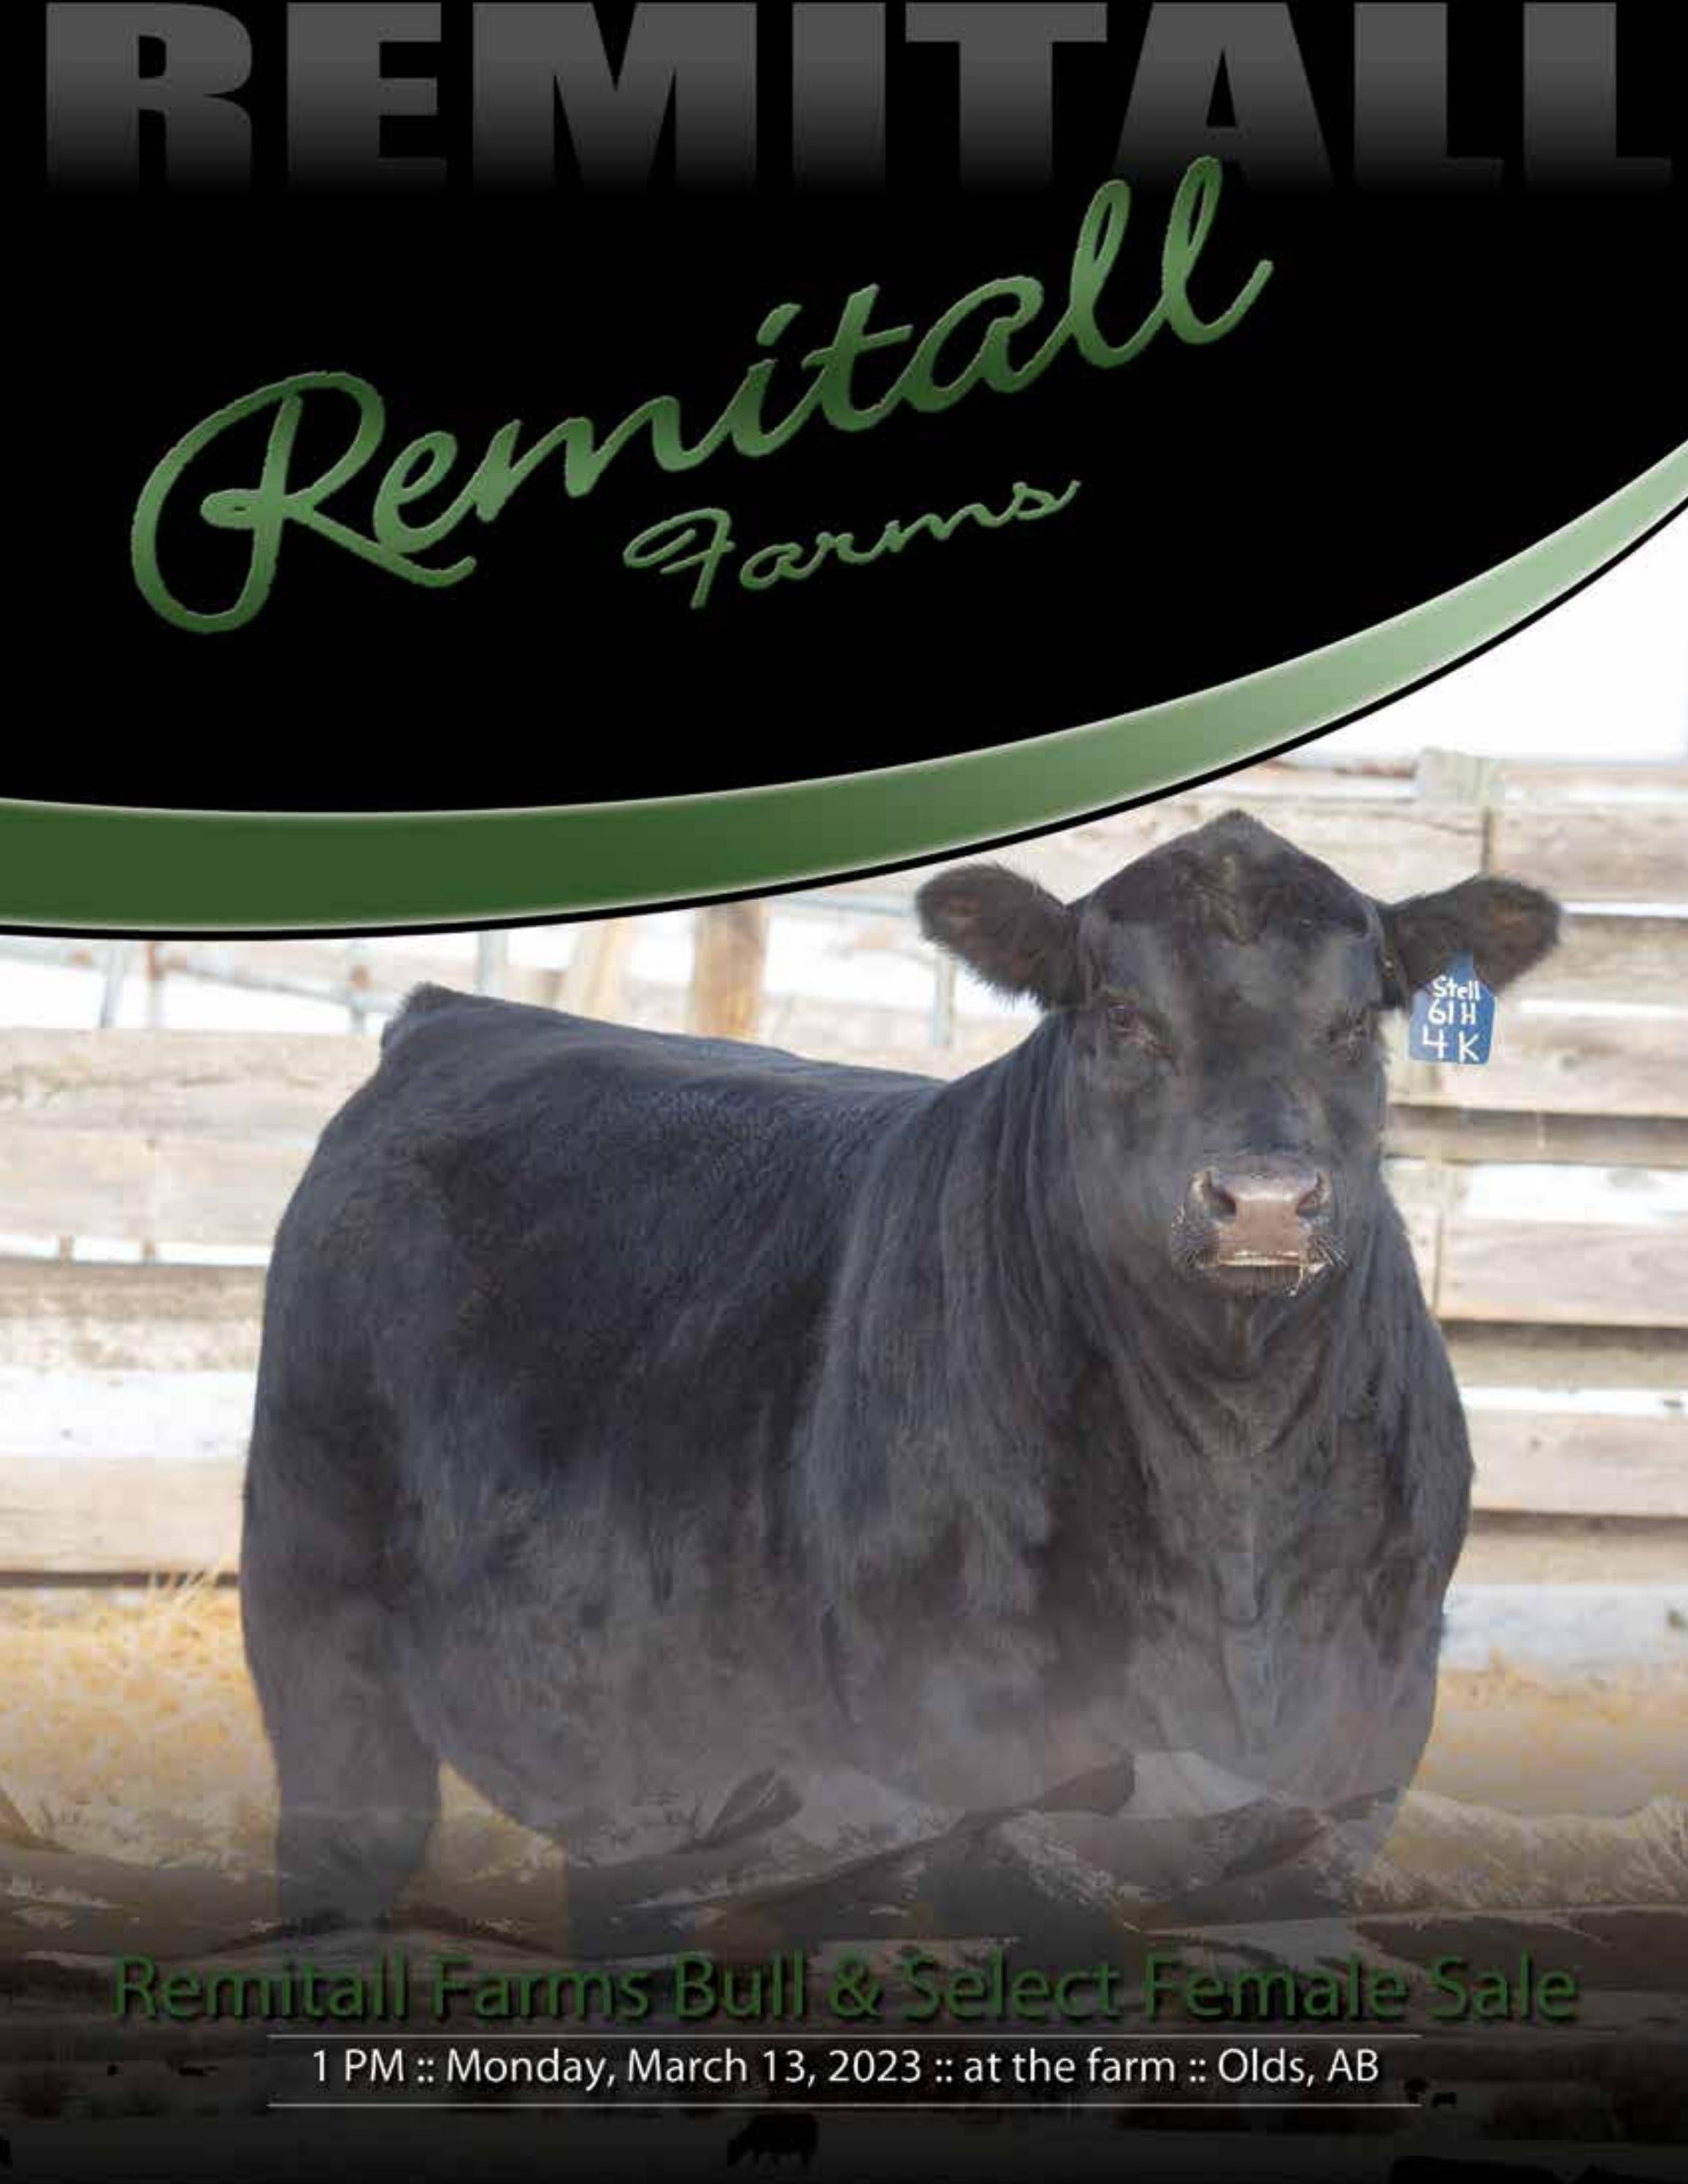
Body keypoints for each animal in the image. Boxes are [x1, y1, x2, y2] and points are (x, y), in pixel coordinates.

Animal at [240, 811, 1559, 1931]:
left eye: (1356, 1024)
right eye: (1122, 1016)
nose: (1267, 1203)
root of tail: (451, 1014)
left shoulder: (1357, 1759)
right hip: (316, 1624)